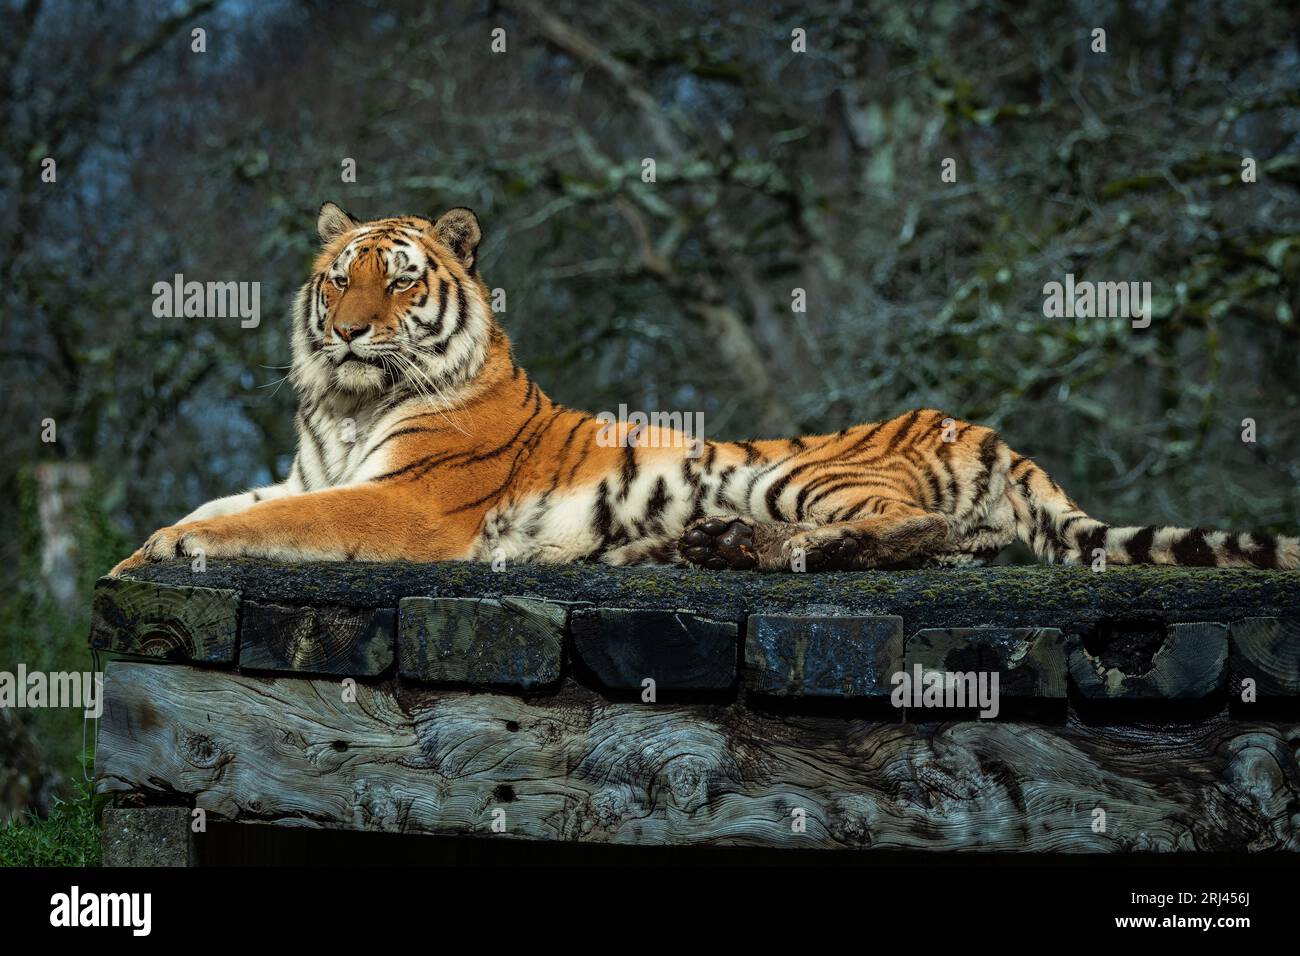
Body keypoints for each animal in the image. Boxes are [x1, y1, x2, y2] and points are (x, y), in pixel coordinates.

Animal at [108, 202, 1300, 577]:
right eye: (336, 278)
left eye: (398, 278)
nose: (351, 330)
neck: (346, 403)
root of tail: (982, 425)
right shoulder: (303, 470)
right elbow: (237, 501)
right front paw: (141, 551)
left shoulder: (404, 501)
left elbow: (266, 522)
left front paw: (164, 551)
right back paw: (676, 548)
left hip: (804, 475)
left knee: (917, 535)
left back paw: (752, 548)